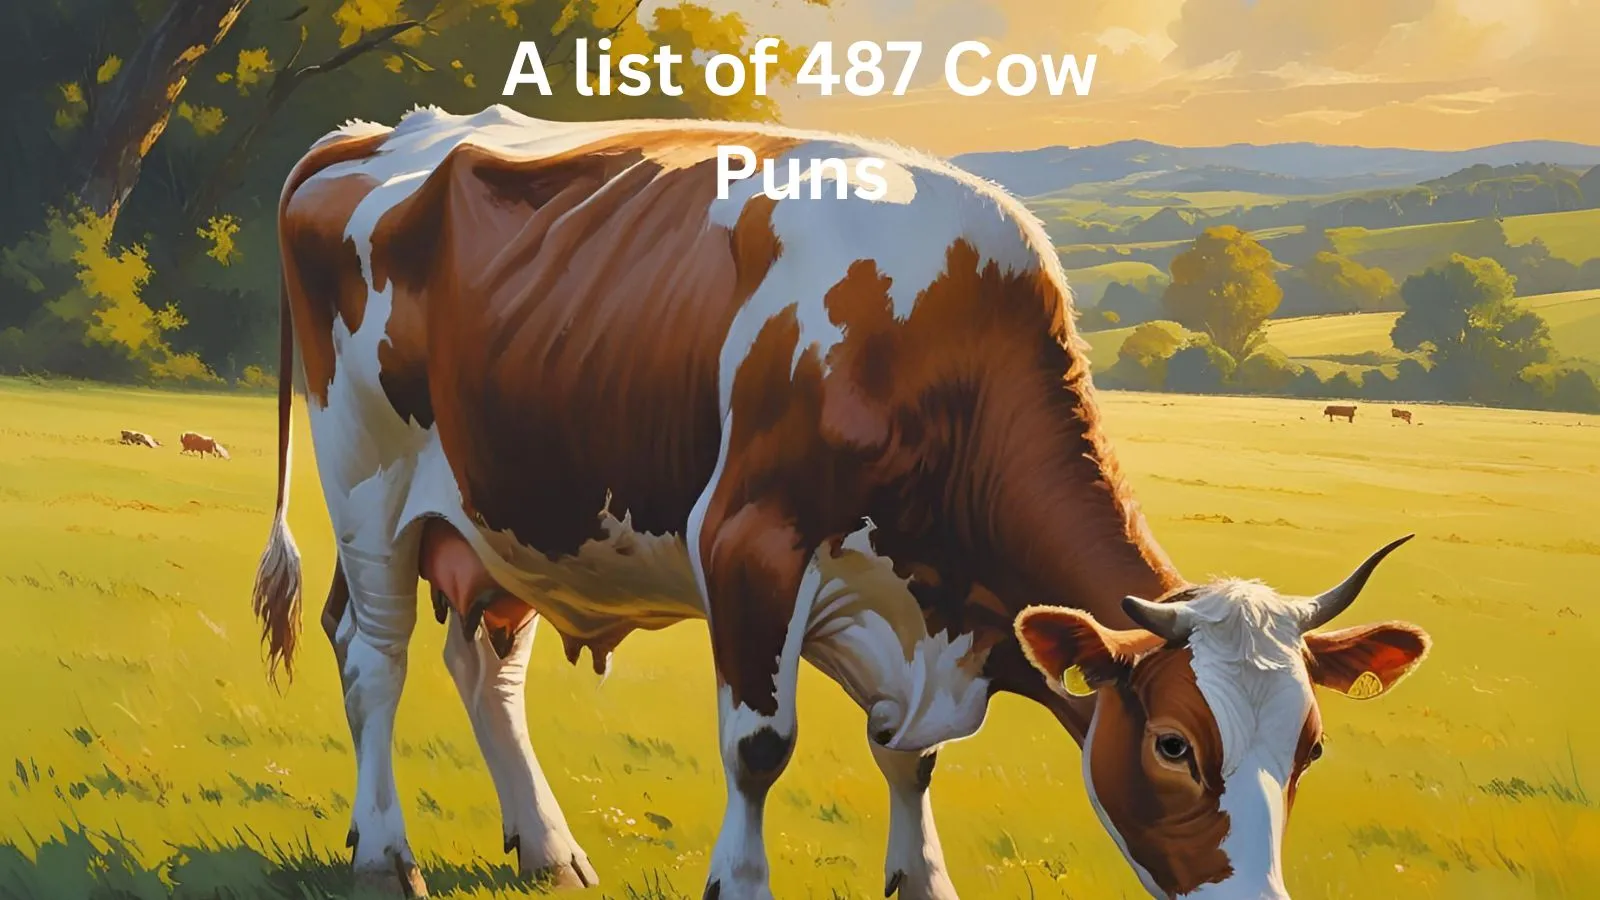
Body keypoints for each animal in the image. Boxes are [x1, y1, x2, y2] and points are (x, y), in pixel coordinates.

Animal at [254, 105, 1431, 900]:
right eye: (1175, 746)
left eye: (1310, 747)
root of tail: (369, 137)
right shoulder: (748, 544)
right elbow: (758, 747)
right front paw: (737, 881)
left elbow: (911, 758)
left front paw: (922, 879)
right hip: (365, 481)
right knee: (375, 657)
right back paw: (386, 852)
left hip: (512, 513)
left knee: (483, 660)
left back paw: (546, 847)